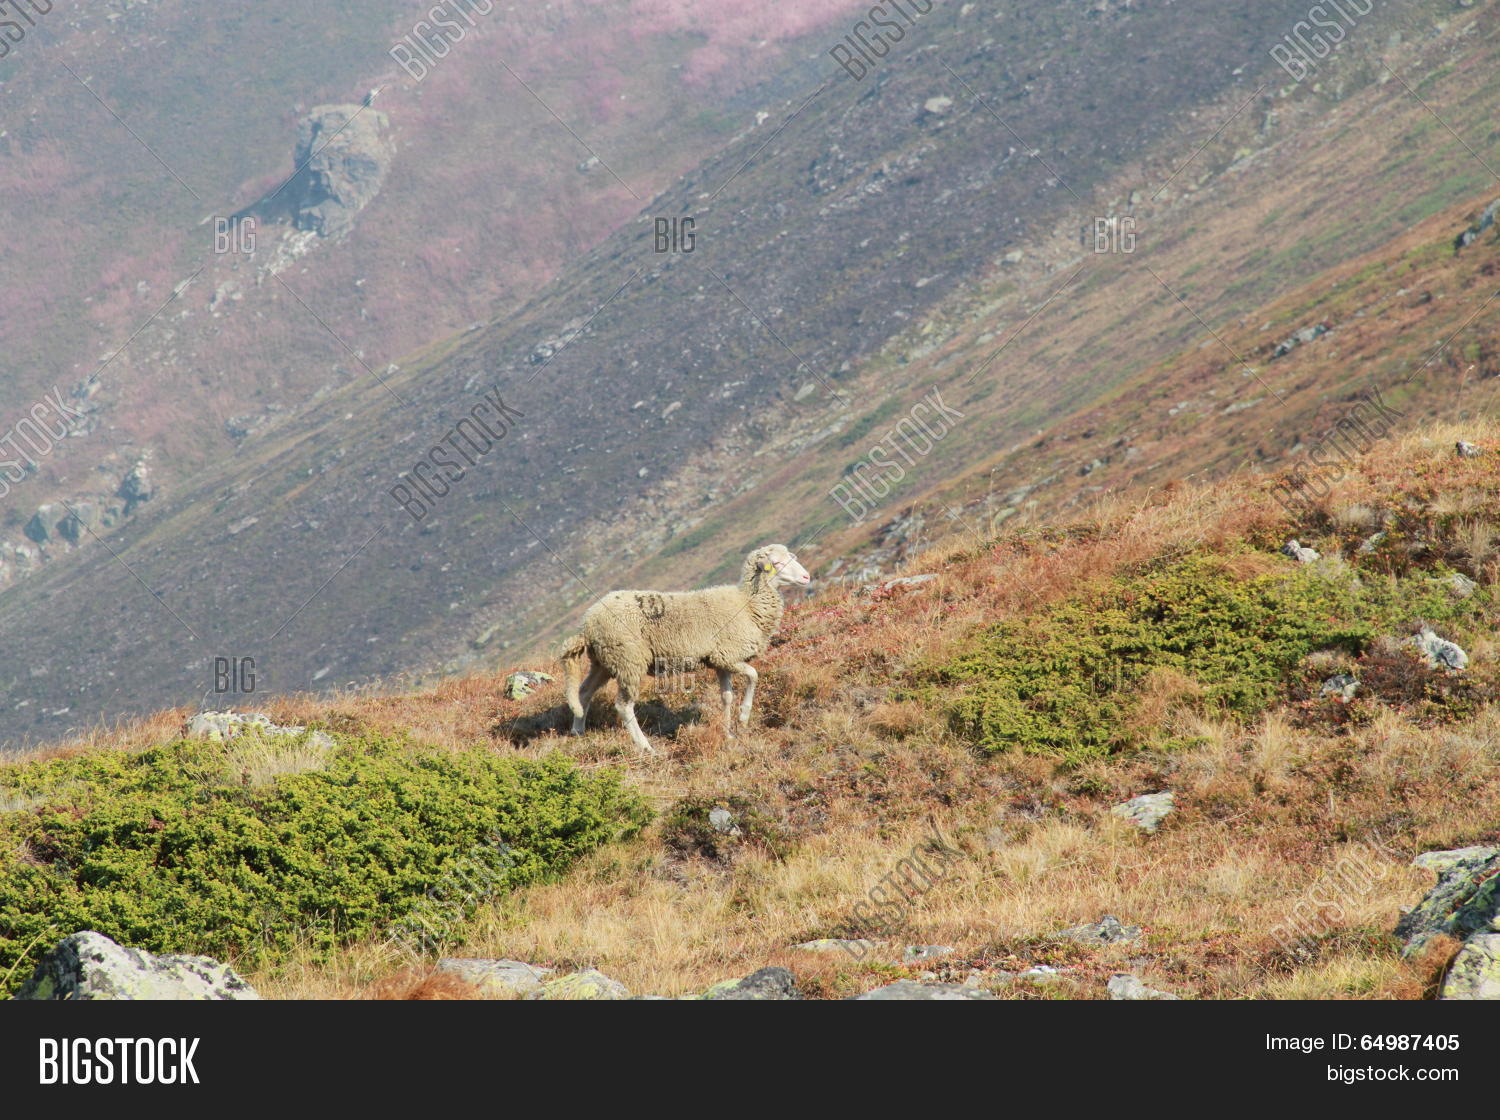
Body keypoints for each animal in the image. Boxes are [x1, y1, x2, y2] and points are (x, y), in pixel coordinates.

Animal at [559, 543, 811, 754]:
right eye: (776, 563)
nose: (807, 577)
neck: (747, 604)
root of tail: (587, 624)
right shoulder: (728, 656)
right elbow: (754, 675)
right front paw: (744, 717)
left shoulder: (720, 661)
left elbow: (726, 696)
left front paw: (728, 733)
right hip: (628, 660)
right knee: (623, 705)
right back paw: (645, 747)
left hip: (604, 661)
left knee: (584, 692)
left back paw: (578, 730)